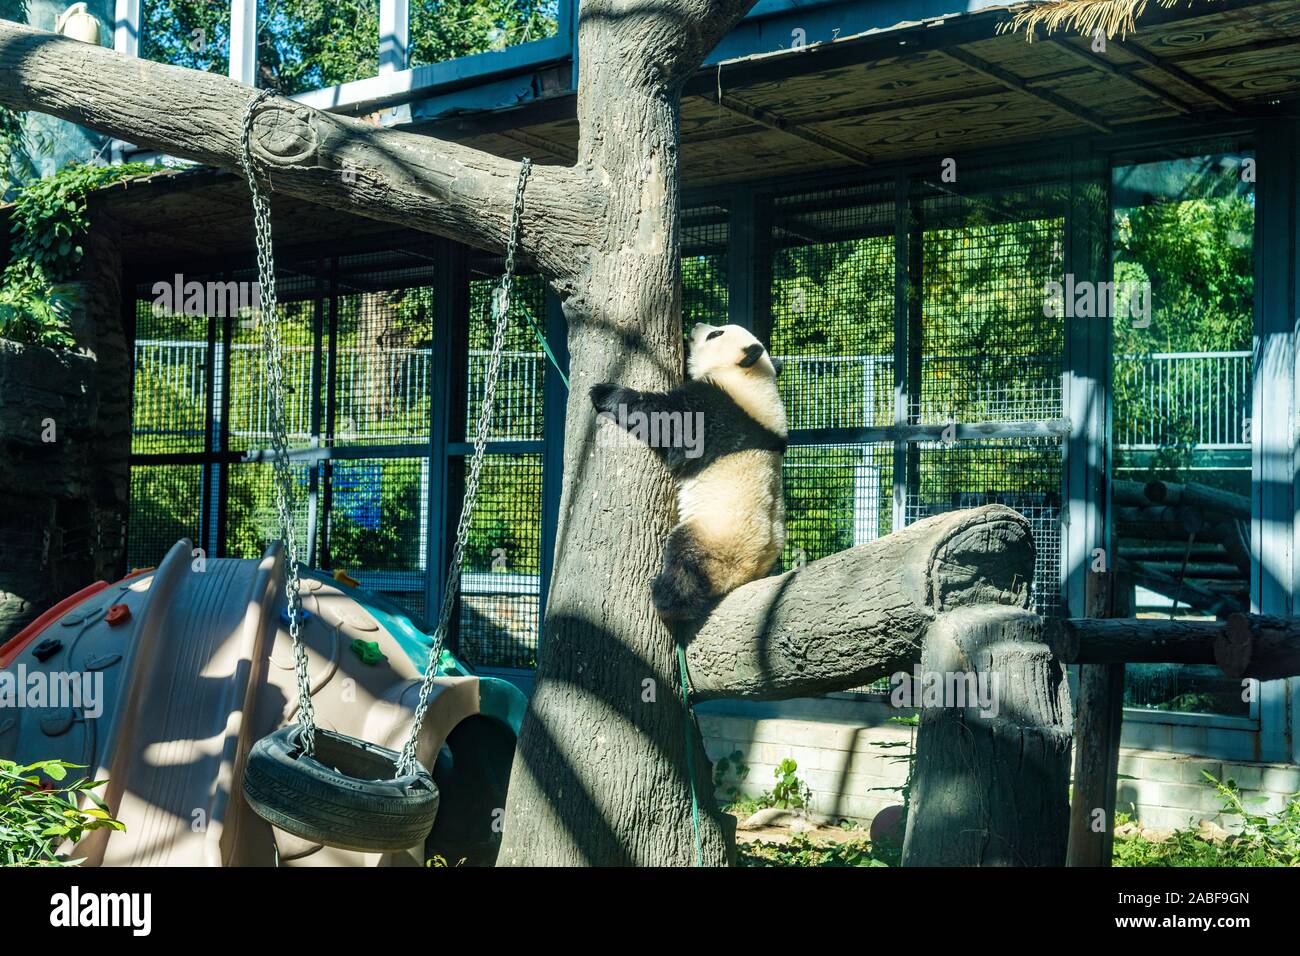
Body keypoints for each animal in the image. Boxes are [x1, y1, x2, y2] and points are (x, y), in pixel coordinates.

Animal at [589, 322, 788, 622]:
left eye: (716, 334)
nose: (696, 325)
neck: (751, 380)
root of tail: (748, 573)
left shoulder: (718, 411)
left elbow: (667, 418)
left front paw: (606, 393)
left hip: (715, 535)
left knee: (684, 559)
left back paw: (666, 596)